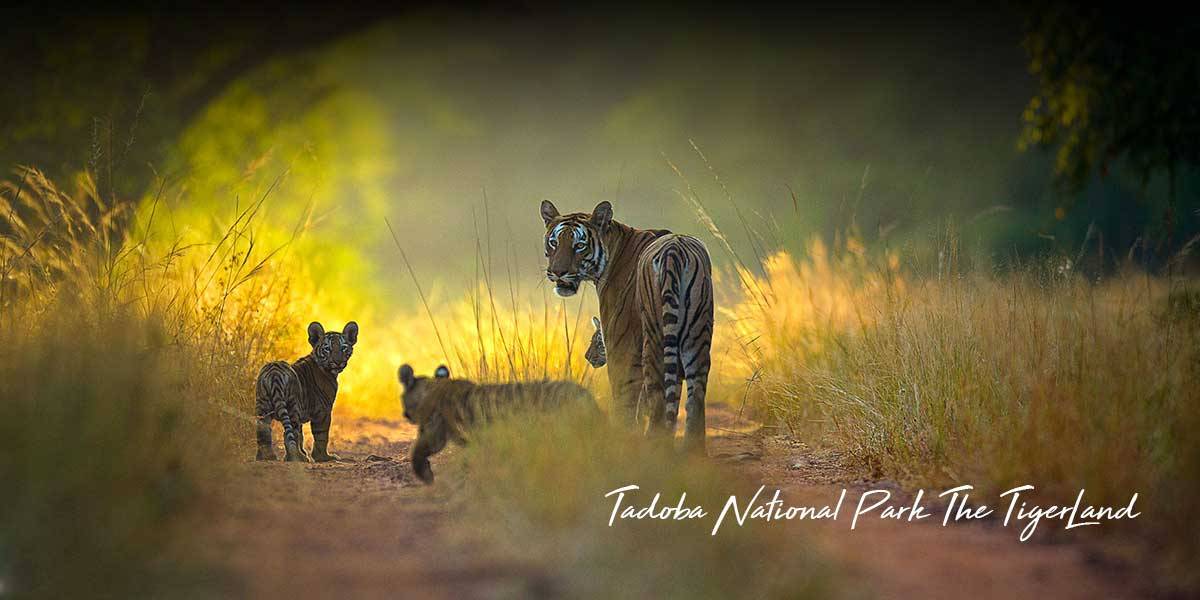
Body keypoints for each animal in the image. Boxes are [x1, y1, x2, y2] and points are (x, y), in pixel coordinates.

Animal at [255, 321, 359, 462]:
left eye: (344, 348)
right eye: (327, 349)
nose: (337, 362)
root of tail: (274, 372)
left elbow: (301, 436)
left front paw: (304, 453)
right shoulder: (323, 410)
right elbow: (321, 436)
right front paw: (323, 457)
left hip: (263, 408)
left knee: (263, 433)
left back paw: (266, 457)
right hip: (291, 407)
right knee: (288, 433)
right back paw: (296, 458)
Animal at [541, 200, 714, 452]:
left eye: (579, 245)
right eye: (554, 242)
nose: (558, 272)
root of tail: (675, 249)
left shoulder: (620, 341)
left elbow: (626, 396)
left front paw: (621, 439)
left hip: (654, 335)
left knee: (657, 393)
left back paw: (656, 445)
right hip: (697, 334)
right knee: (695, 395)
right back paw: (694, 452)